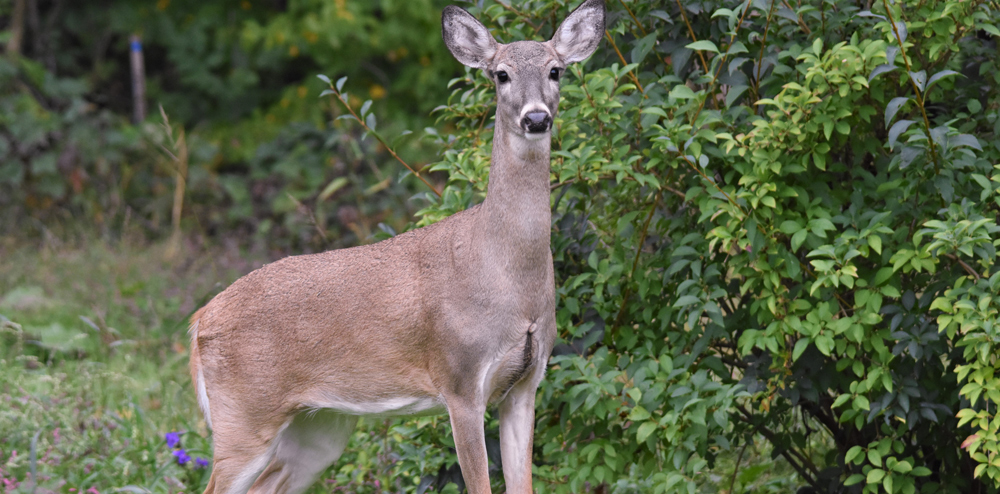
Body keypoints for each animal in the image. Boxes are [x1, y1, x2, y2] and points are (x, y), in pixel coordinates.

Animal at [188, 1, 605, 493]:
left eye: (556, 70)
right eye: (500, 74)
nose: (536, 118)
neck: (505, 273)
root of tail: (199, 320)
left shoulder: (525, 384)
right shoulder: (460, 381)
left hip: (319, 424)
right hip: (244, 414)